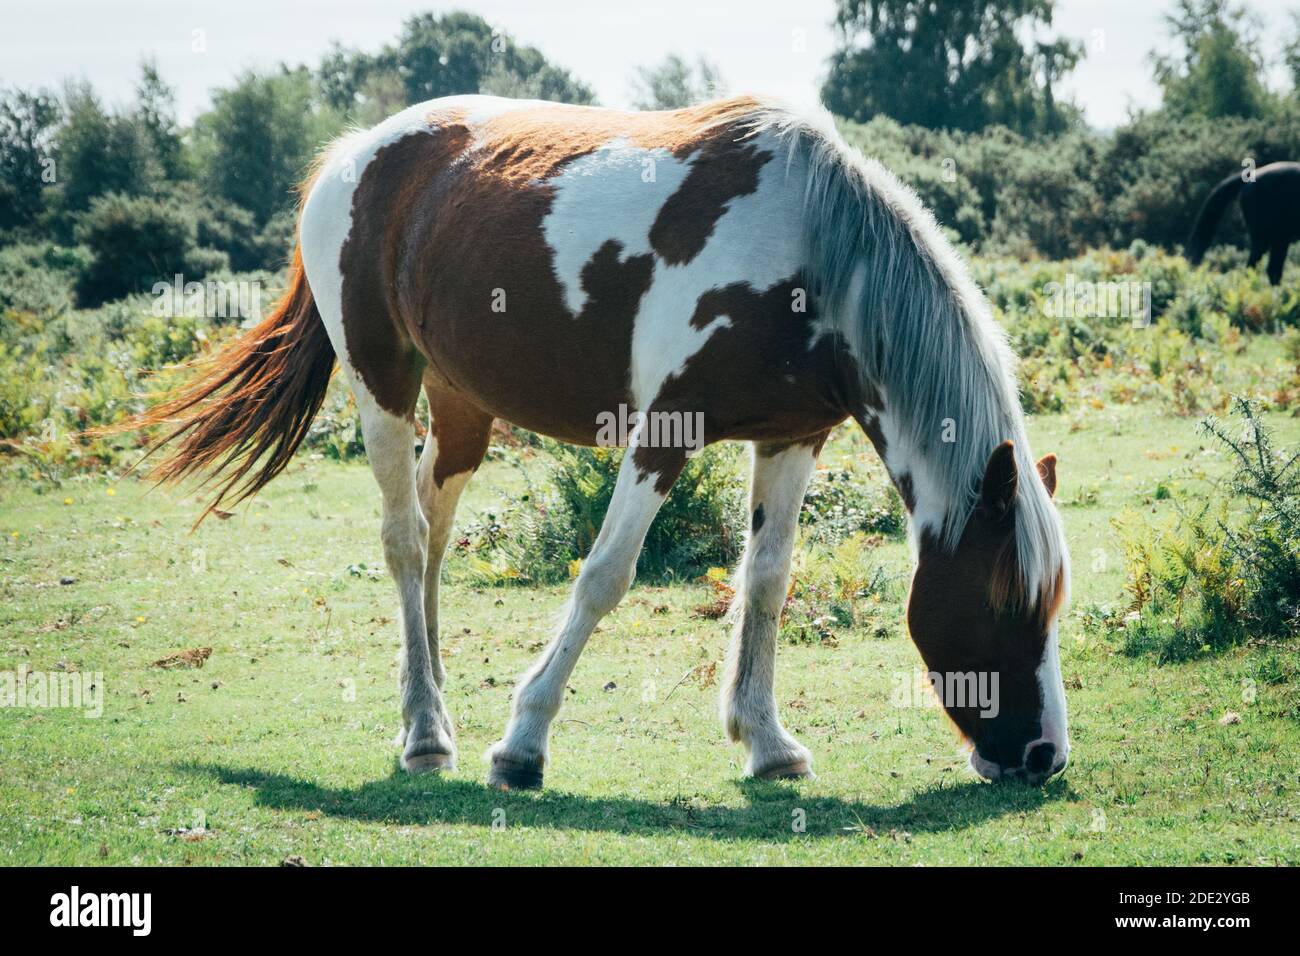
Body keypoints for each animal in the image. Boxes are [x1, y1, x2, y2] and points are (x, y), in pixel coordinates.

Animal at [134, 94, 1071, 790]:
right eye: (1004, 602)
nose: (1044, 756)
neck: (812, 254)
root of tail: (352, 155)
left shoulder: (792, 437)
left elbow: (767, 582)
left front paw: (766, 740)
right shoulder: (664, 432)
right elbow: (606, 577)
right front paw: (522, 743)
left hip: (462, 402)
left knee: (435, 529)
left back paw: (426, 704)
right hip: (381, 381)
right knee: (403, 539)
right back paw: (428, 733)